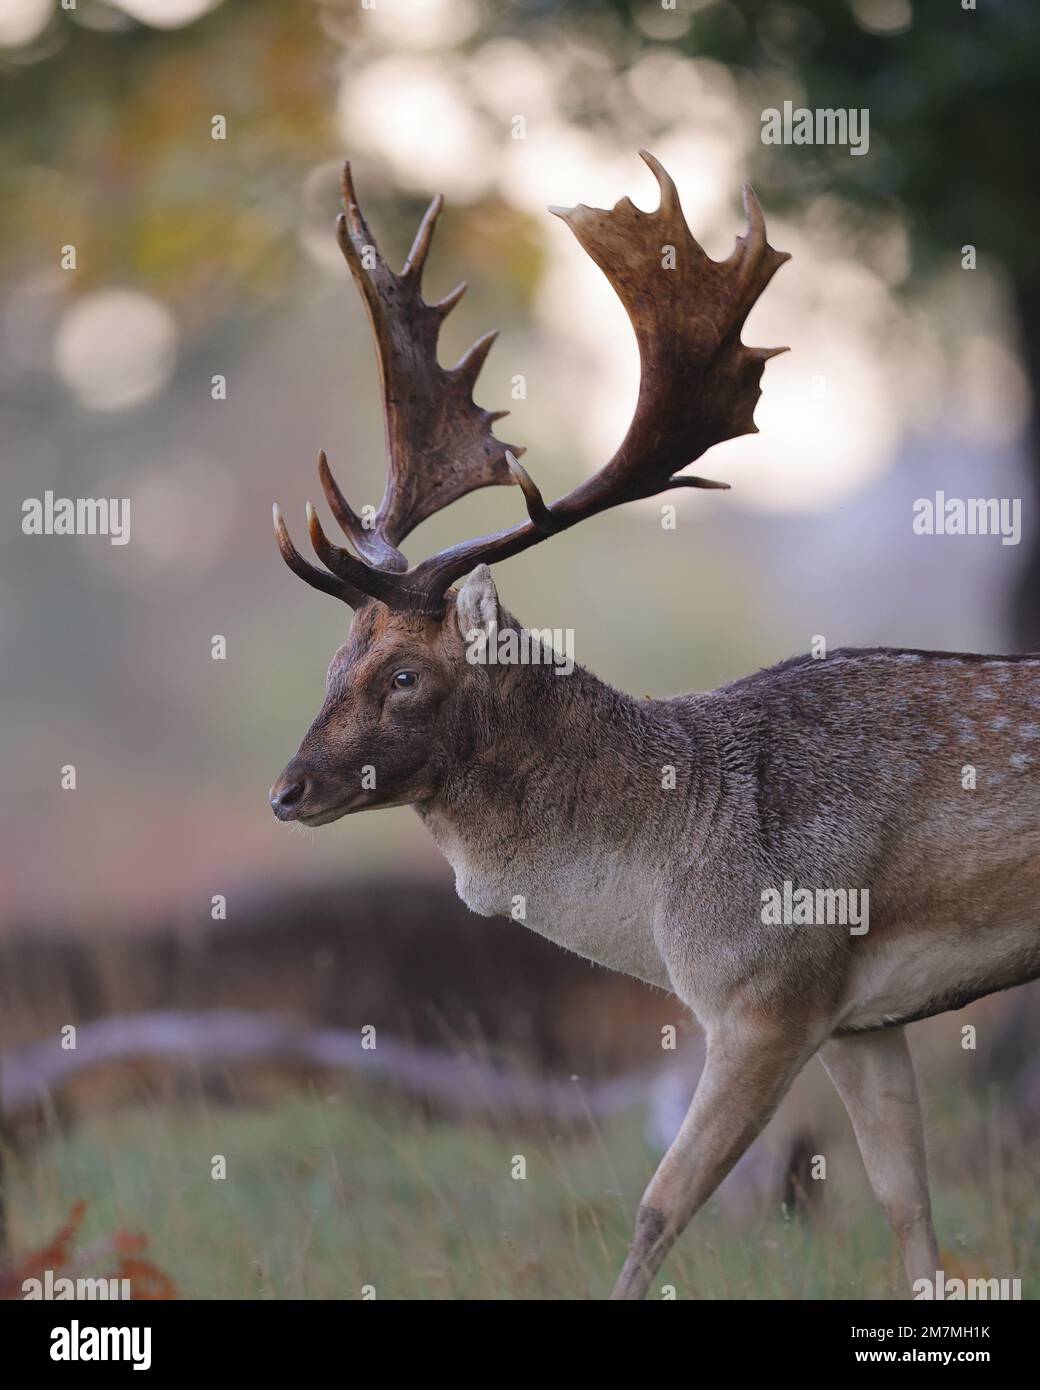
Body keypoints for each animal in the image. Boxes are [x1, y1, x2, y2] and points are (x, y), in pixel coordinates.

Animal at [268, 152, 1040, 1300]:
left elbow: (658, 1205)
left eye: (404, 674)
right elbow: (909, 1209)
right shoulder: (861, 1014)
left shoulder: (767, 992)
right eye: (334, 665)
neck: (665, 884)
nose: (288, 789)